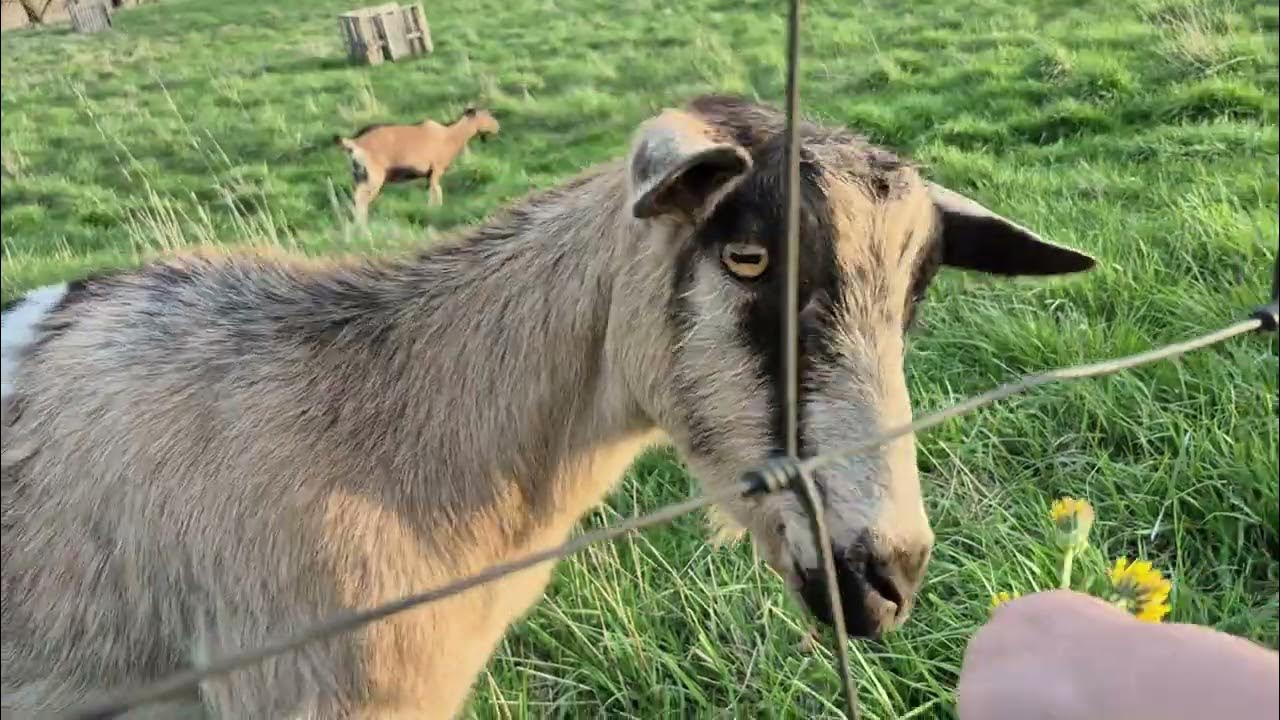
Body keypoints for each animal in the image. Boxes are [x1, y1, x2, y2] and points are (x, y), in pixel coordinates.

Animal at [334, 107, 500, 224]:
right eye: (485, 115)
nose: (497, 127)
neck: (450, 135)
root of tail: (354, 143)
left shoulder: (429, 174)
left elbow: (432, 192)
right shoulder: (436, 169)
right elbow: (437, 192)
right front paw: (436, 210)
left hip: (359, 175)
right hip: (373, 176)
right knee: (361, 199)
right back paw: (362, 225)